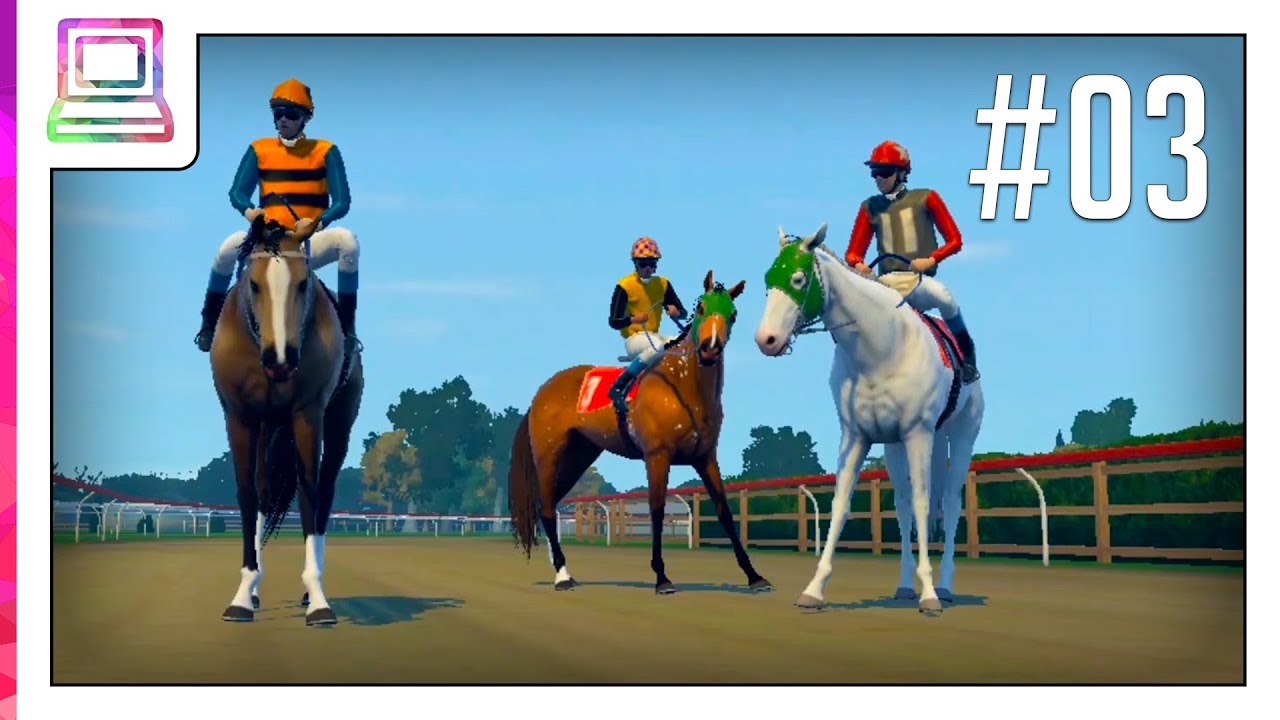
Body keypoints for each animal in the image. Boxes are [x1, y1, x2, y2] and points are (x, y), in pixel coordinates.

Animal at [209, 212, 364, 626]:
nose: (280, 360)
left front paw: (319, 601)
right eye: (254, 284)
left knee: (325, 491)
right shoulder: (239, 415)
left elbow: (310, 491)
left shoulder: (307, 413)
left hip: (339, 424)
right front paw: (243, 595)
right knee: (264, 490)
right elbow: (248, 494)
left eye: (302, 283)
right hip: (266, 426)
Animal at [508, 270, 773, 595]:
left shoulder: (706, 457)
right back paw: (562, 576)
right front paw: (662, 578)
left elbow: (724, 511)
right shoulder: (657, 455)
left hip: (579, 455)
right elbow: (656, 510)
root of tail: (541, 393)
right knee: (545, 508)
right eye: (700, 309)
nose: (710, 348)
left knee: (549, 505)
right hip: (549, 456)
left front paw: (754, 576)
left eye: (732, 314)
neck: (684, 386)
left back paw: (561, 566)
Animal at [754, 224, 984, 614]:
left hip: (962, 434)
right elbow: (841, 506)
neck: (879, 349)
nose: (765, 339)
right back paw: (904, 586)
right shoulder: (856, 436)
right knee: (902, 505)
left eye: (798, 279)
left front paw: (930, 595)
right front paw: (814, 589)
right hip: (894, 447)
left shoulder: (918, 434)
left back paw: (945, 586)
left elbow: (925, 504)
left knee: (951, 503)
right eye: (769, 279)